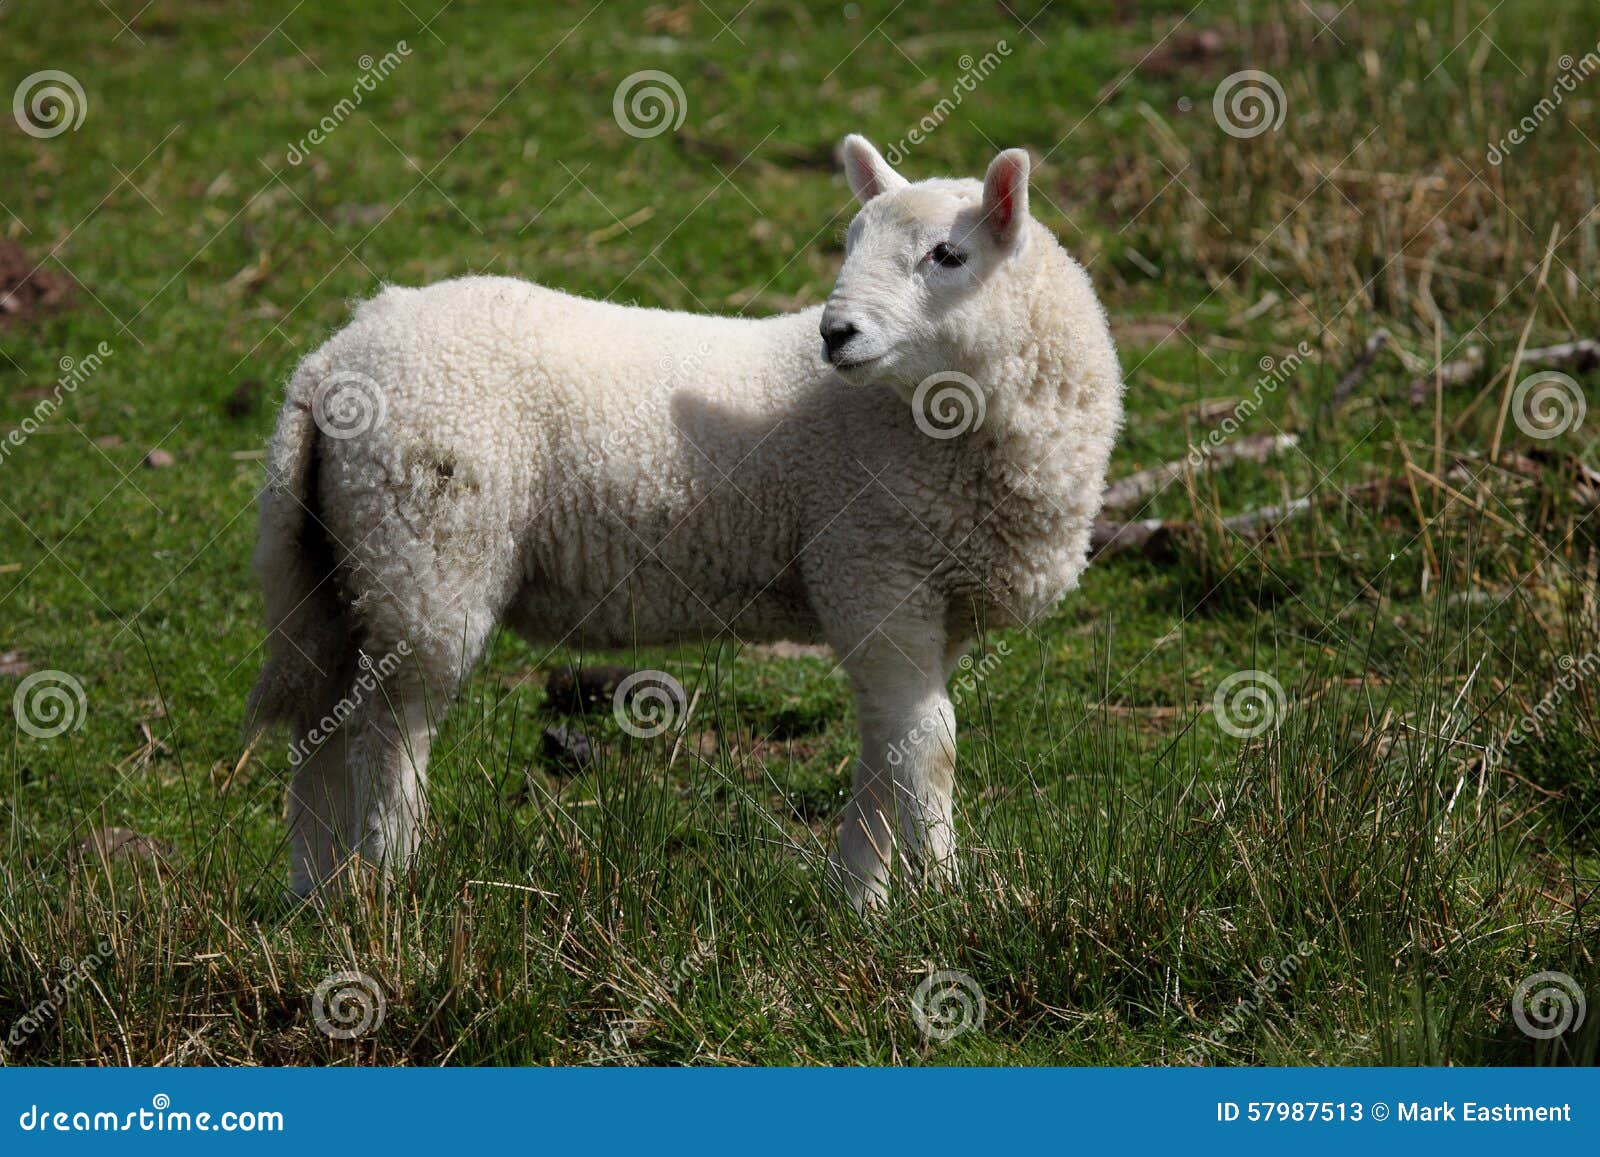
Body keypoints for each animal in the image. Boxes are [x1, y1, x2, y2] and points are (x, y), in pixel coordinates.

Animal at [246, 135, 1124, 908]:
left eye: (948, 255)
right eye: (848, 242)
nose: (834, 333)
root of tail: (332, 357)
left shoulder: (919, 599)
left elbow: (888, 746)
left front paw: (860, 898)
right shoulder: (871, 568)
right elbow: (928, 744)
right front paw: (944, 896)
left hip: (338, 563)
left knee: (321, 724)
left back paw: (314, 888)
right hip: (424, 554)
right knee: (389, 733)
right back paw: (388, 881)